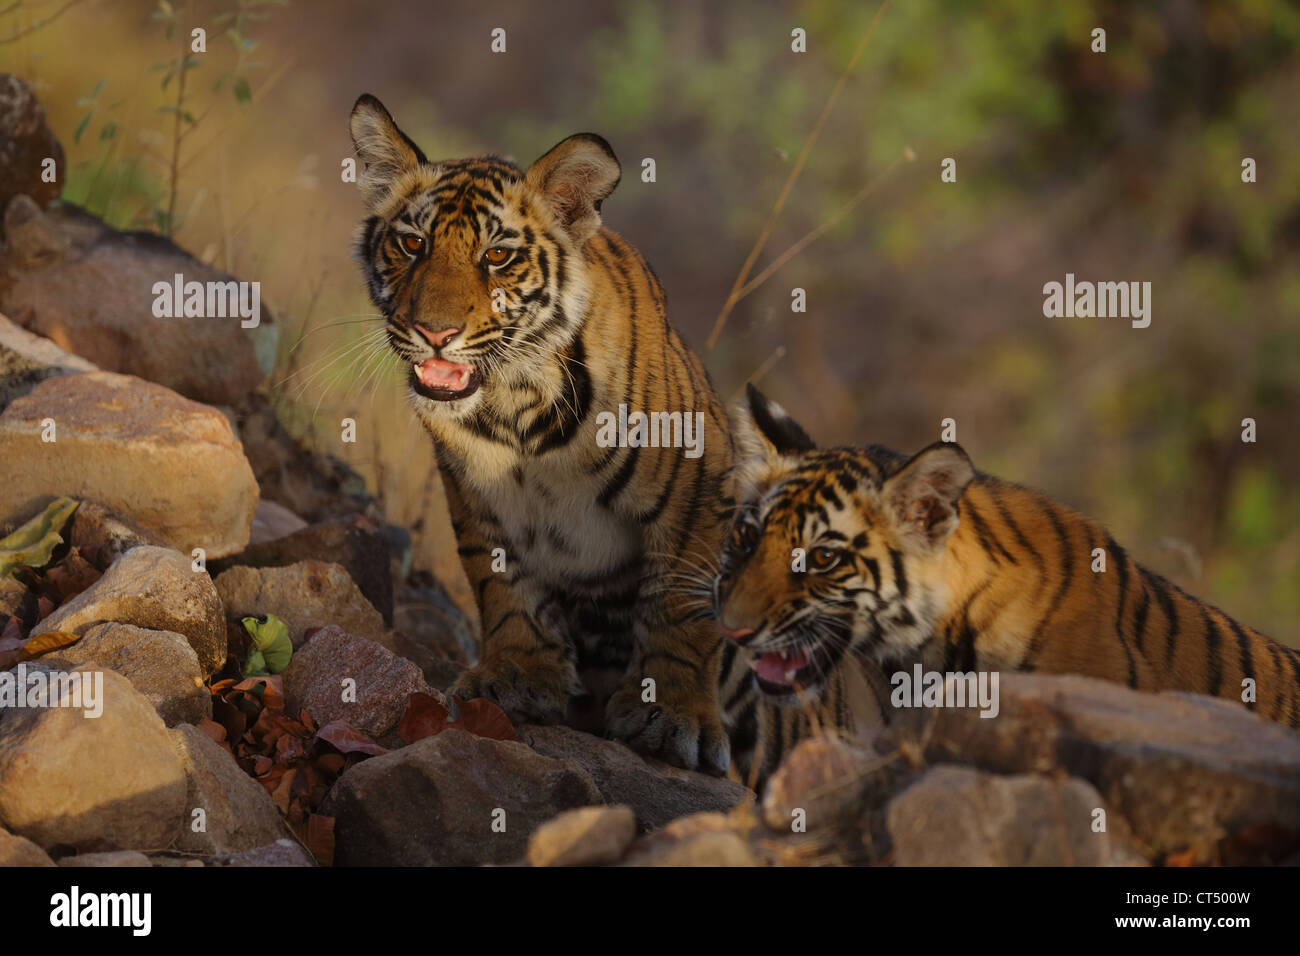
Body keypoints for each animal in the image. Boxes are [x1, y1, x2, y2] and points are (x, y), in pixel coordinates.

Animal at [349, 94, 735, 773]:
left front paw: (671, 715)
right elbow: (502, 581)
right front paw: (518, 677)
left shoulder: (700, 474)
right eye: (412, 244)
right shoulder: (476, 493)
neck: (513, 405)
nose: (434, 332)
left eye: (497, 256)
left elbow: (681, 605)